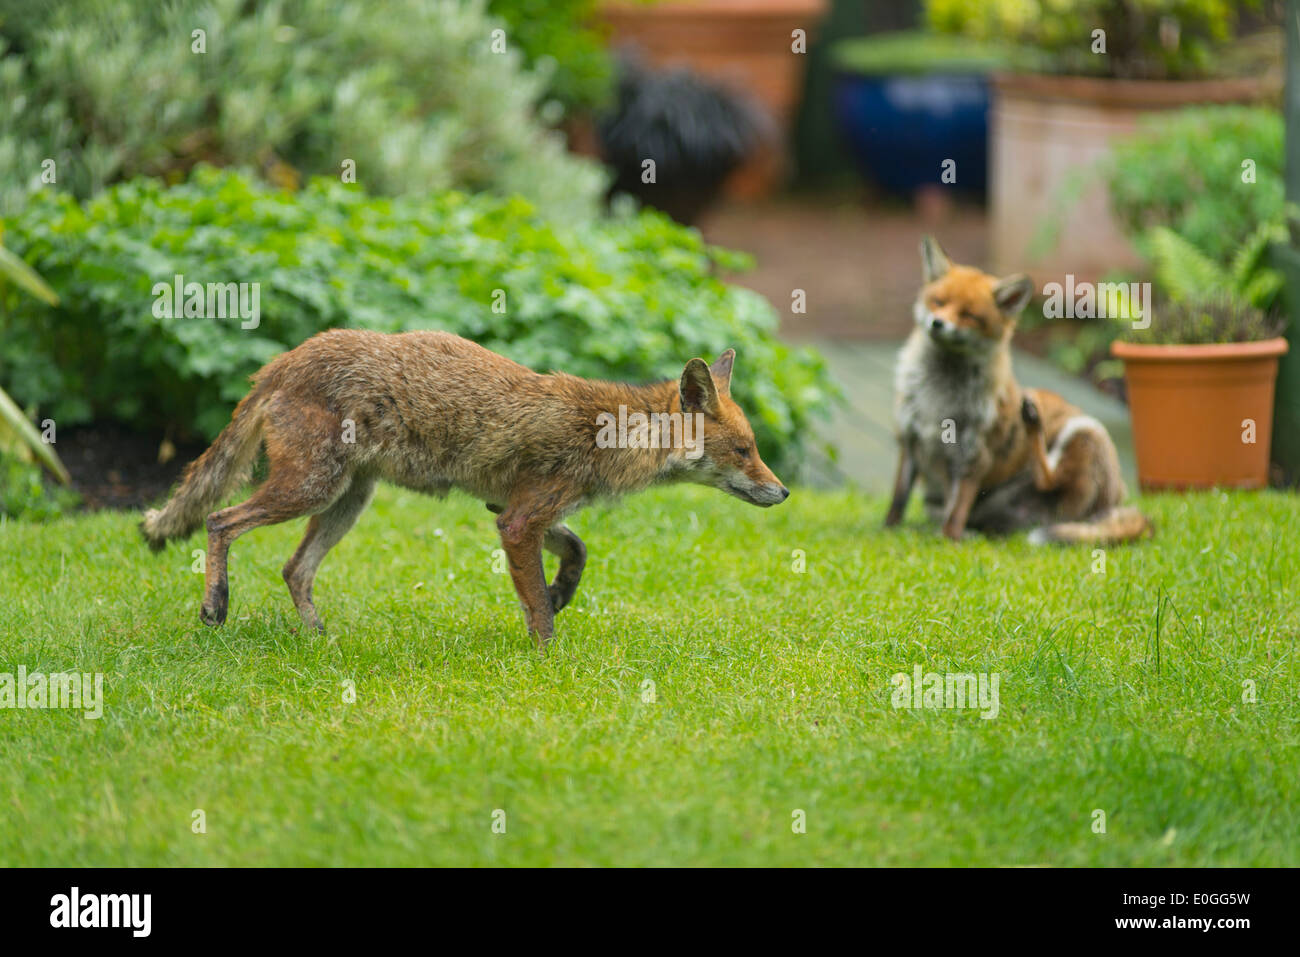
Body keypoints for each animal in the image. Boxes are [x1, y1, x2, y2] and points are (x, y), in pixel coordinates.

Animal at [141, 329, 789, 648]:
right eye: (745, 451)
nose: (783, 494)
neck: (609, 432)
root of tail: (283, 360)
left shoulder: (512, 506)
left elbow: (577, 550)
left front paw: (561, 591)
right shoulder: (518, 519)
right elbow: (539, 609)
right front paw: (549, 658)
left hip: (348, 499)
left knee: (294, 569)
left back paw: (320, 641)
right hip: (311, 488)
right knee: (219, 520)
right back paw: (216, 605)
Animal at [885, 236, 1152, 545]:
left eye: (968, 315)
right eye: (938, 302)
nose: (937, 323)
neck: (938, 394)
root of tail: (1114, 502)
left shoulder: (973, 456)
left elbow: (955, 514)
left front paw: (948, 540)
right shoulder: (909, 441)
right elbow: (898, 499)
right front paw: (887, 530)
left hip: (1085, 430)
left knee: (1049, 479)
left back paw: (1032, 420)